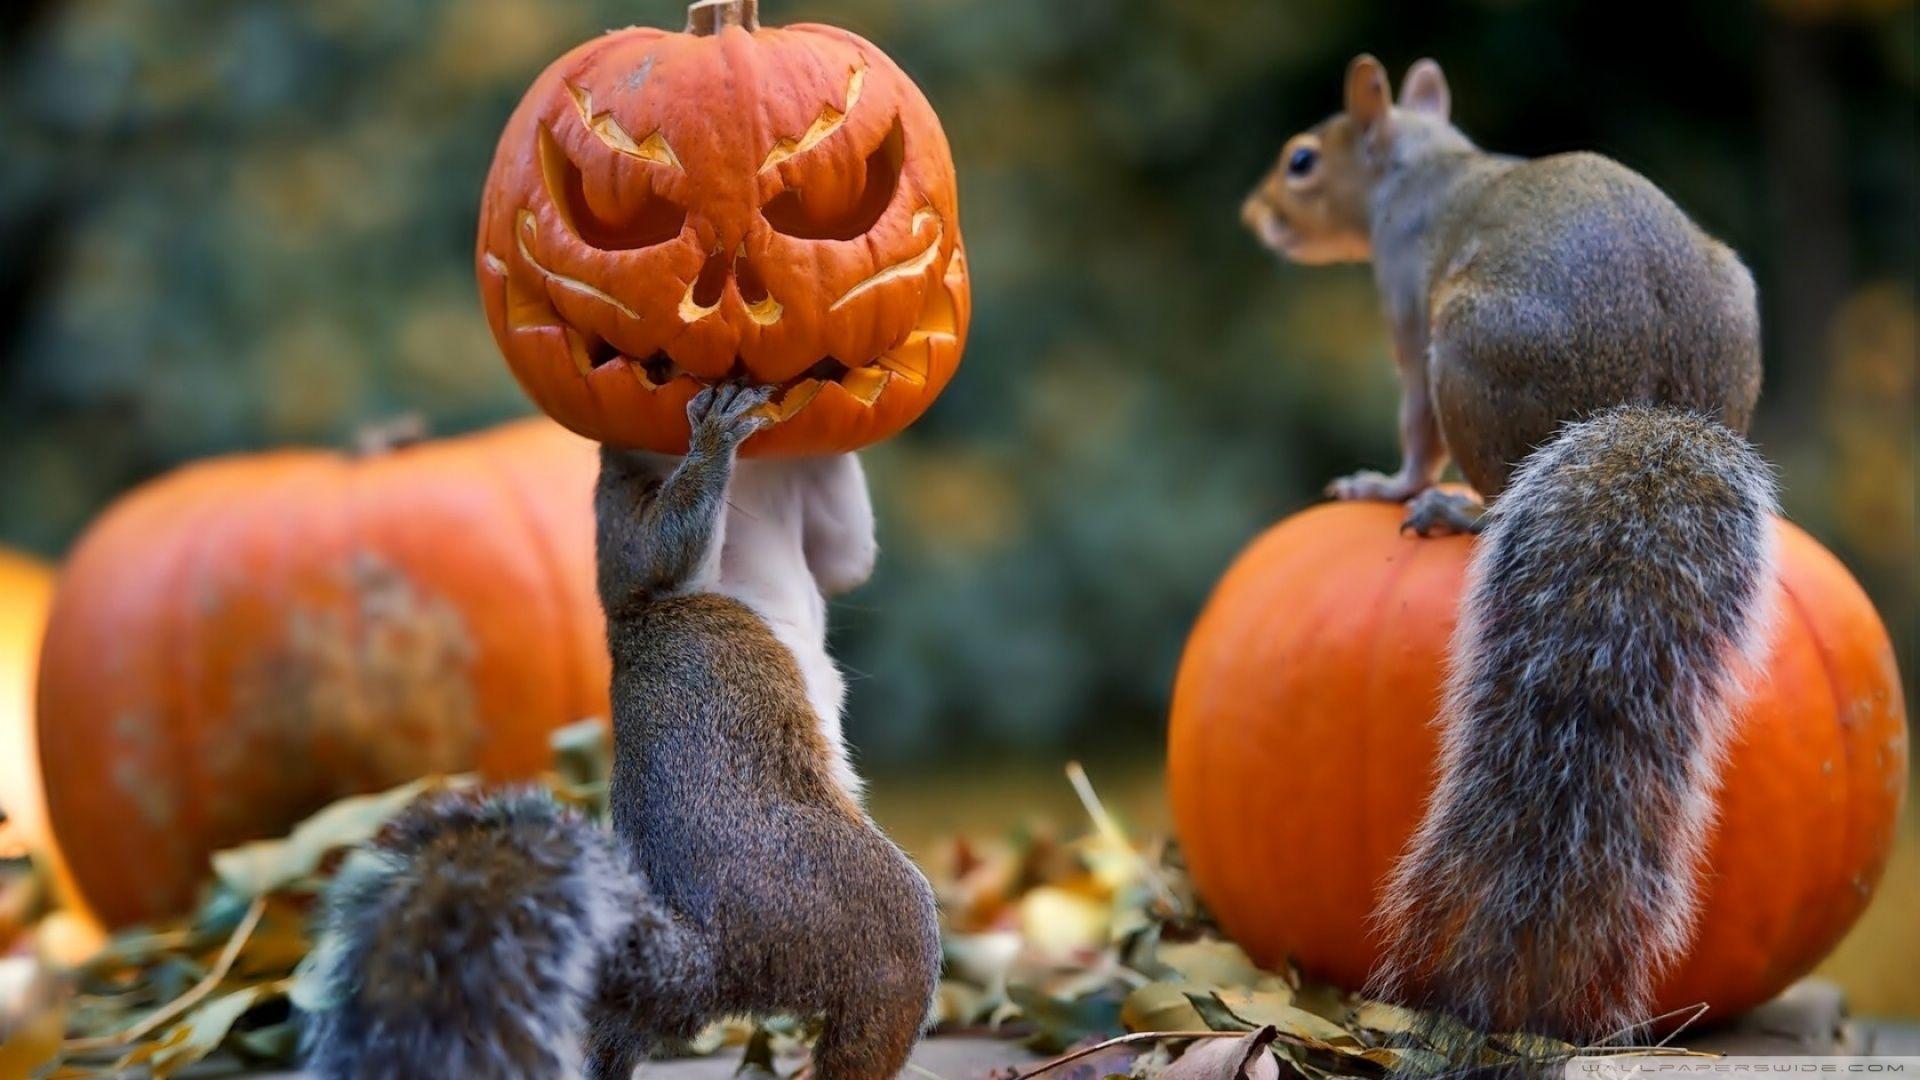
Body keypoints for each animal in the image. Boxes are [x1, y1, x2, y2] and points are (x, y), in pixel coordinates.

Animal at [299, 383, 941, 1080]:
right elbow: (658, 553)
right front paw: (714, 435)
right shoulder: (620, 526)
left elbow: (846, 555)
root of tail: (712, 959)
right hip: (860, 905)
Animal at [1242, 57, 1778, 1041]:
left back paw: (1455, 511)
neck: (1423, 166)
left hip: (1470, 352)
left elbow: (1413, 426)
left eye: (1302, 160)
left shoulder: (1407, 308)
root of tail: (1655, 403)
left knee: (1485, 482)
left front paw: (1389, 483)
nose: (1255, 215)